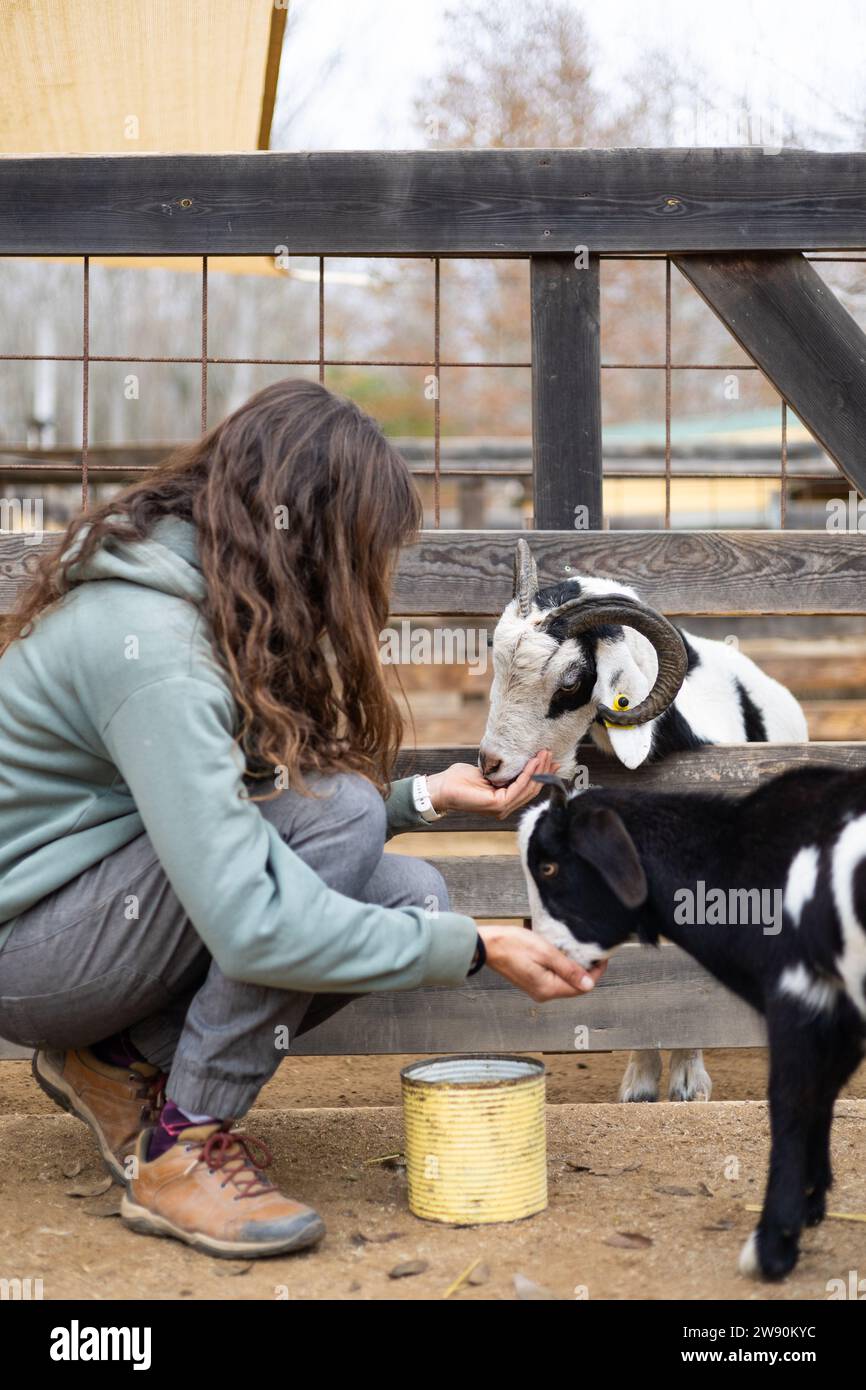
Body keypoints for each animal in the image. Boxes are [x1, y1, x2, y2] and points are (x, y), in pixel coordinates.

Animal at [518, 766, 866, 1281]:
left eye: (549, 867)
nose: (548, 957)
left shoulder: (798, 991)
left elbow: (792, 1103)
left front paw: (771, 1247)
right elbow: (820, 1099)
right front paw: (808, 1206)